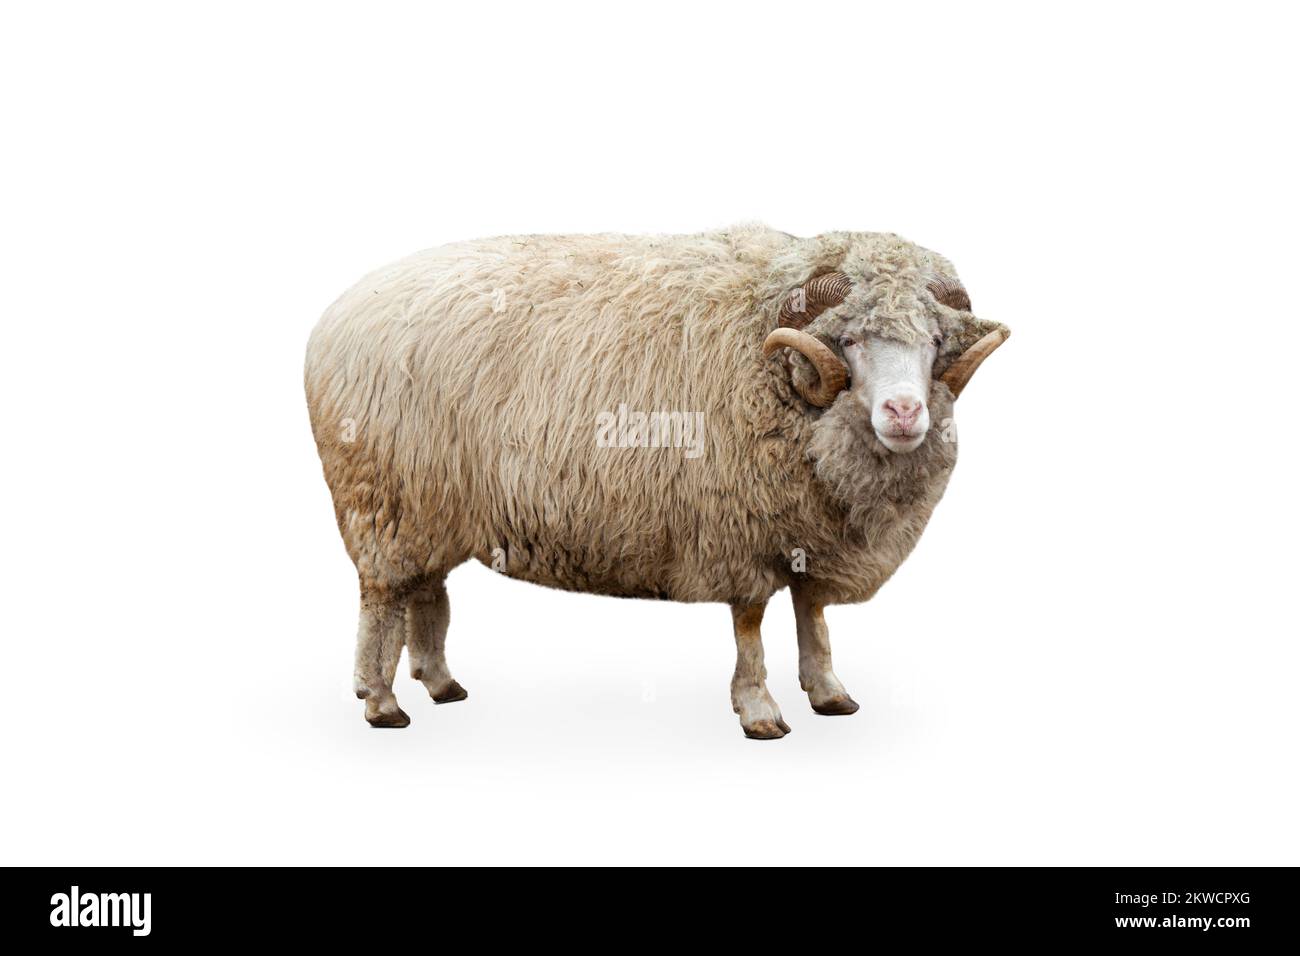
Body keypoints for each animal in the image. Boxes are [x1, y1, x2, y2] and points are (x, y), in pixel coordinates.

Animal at [305, 224, 1009, 738]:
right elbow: (751, 626)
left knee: (426, 591)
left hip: (435, 503)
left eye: (935, 340)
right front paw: (759, 711)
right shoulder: (736, 526)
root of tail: (338, 312)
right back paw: (382, 701)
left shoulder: (810, 529)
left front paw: (830, 693)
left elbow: (811, 616)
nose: (905, 413)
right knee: (382, 599)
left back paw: (439, 682)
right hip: (384, 499)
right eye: (851, 340)